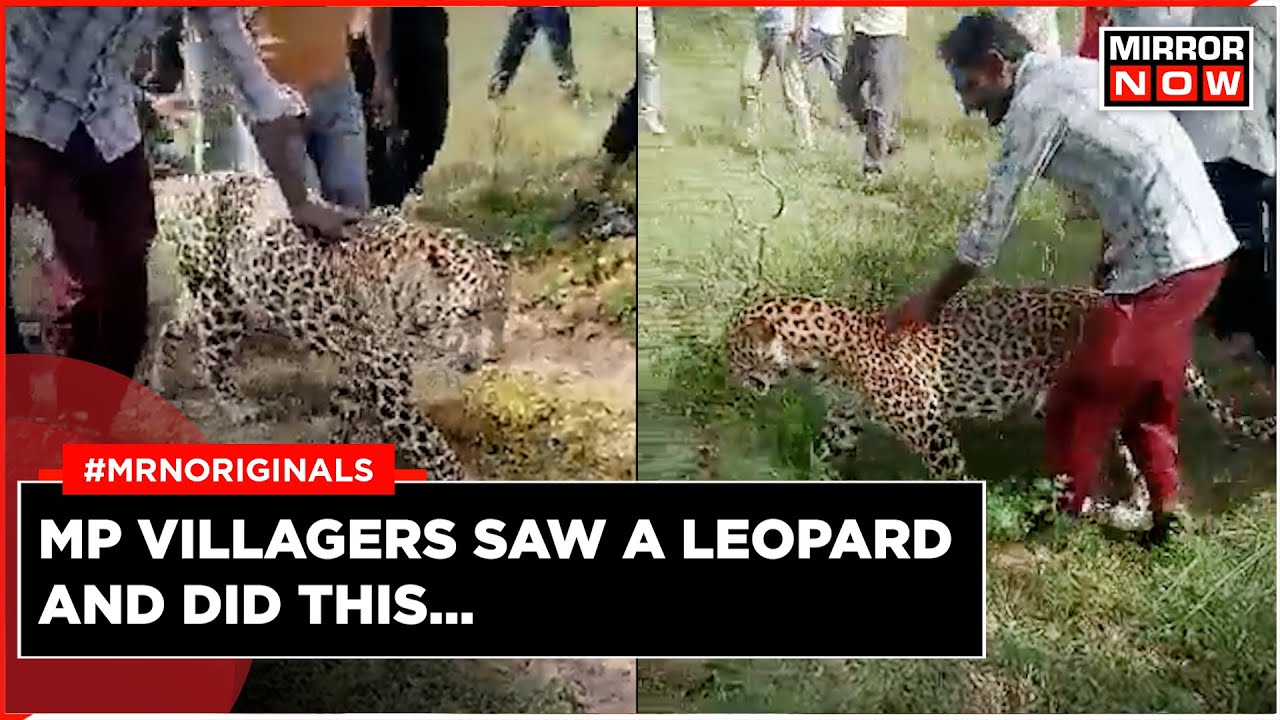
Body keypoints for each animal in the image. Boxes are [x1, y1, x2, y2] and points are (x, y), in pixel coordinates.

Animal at [139, 170, 511, 482]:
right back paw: (237, 407)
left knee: (170, 328)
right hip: (222, 303)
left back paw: (159, 381)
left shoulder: (356, 369)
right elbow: (435, 448)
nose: (493, 358)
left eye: (503, 312)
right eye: (471, 313)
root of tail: (184, 182)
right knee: (210, 356)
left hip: (212, 297)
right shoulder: (391, 393)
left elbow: (342, 414)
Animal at [726, 285, 1275, 520]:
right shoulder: (845, 419)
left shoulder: (928, 426)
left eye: (735, 351)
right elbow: (822, 454)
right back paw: (1130, 504)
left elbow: (952, 475)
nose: (727, 374)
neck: (821, 359)